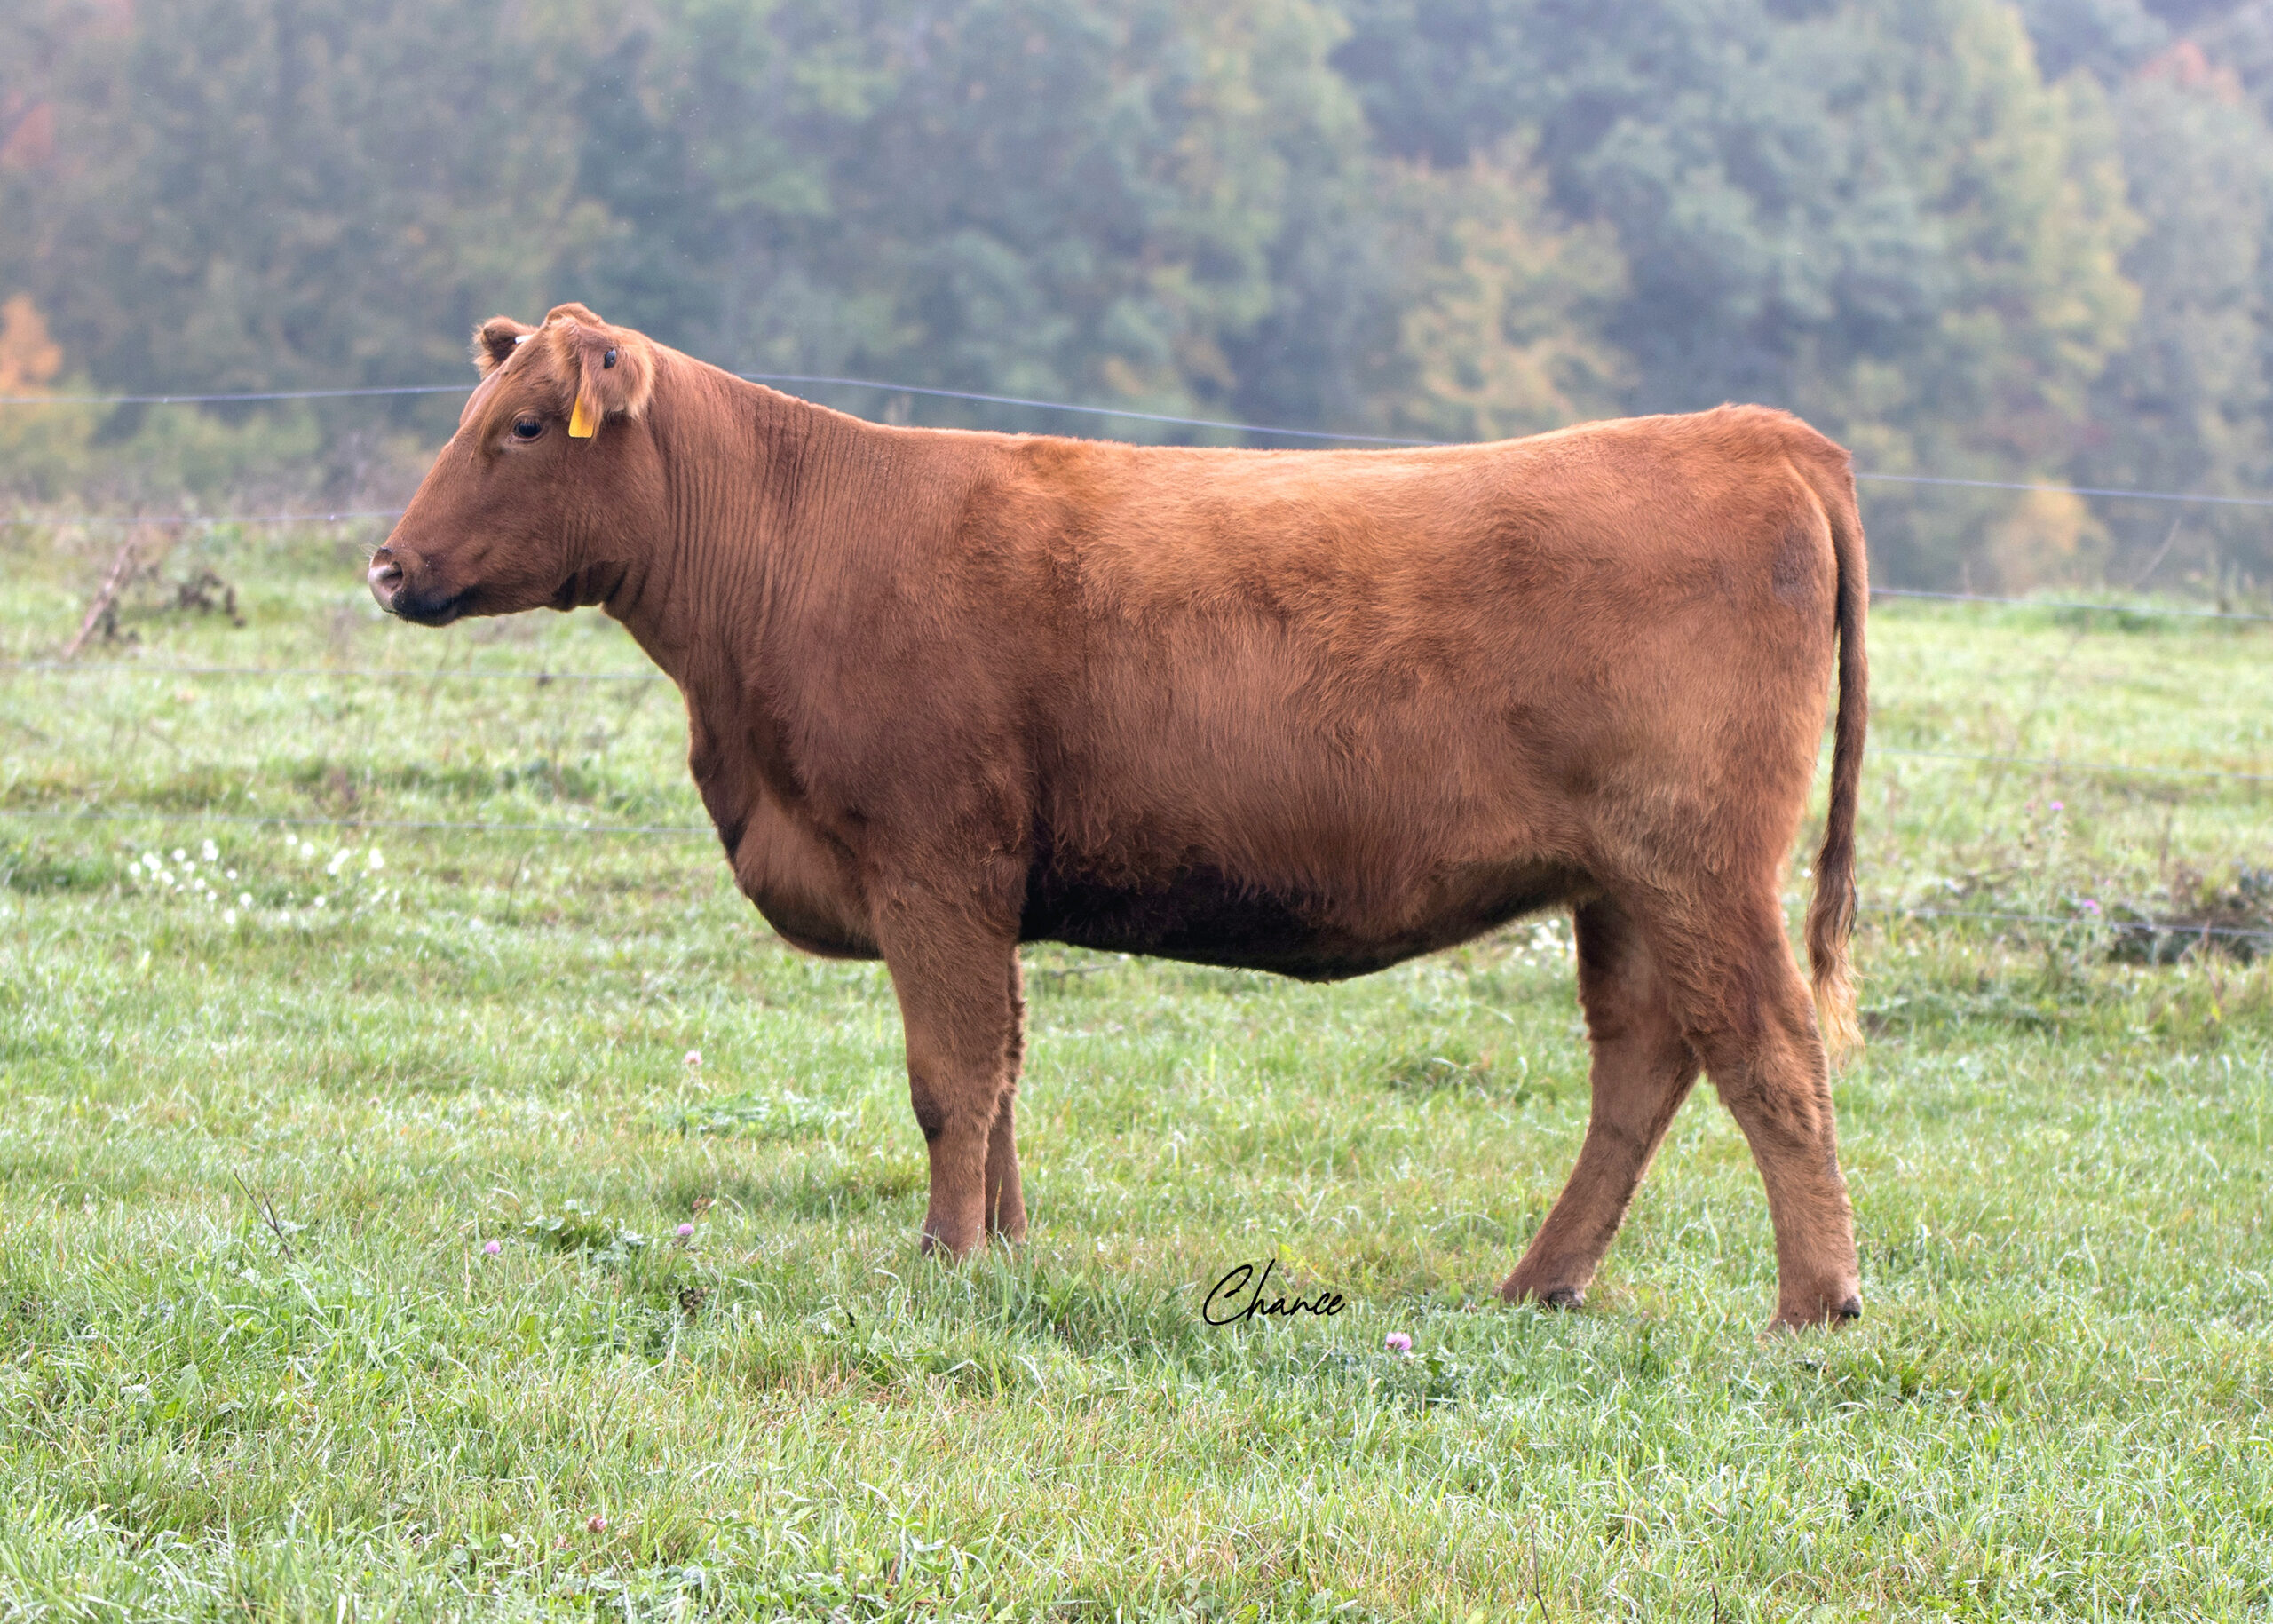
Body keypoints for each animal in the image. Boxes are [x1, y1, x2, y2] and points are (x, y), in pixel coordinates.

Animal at [369, 303, 1869, 1329]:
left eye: (520, 426)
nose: (387, 566)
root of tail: (1752, 431)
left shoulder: (931, 863)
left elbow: (950, 1076)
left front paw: (945, 1259)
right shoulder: (983, 890)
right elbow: (1004, 1073)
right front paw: (1005, 1248)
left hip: (1699, 868)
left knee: (1770, 1056)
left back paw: (1814, 1305)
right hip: (1621, 885)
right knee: (1646, 1066)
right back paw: (1538, 1285)